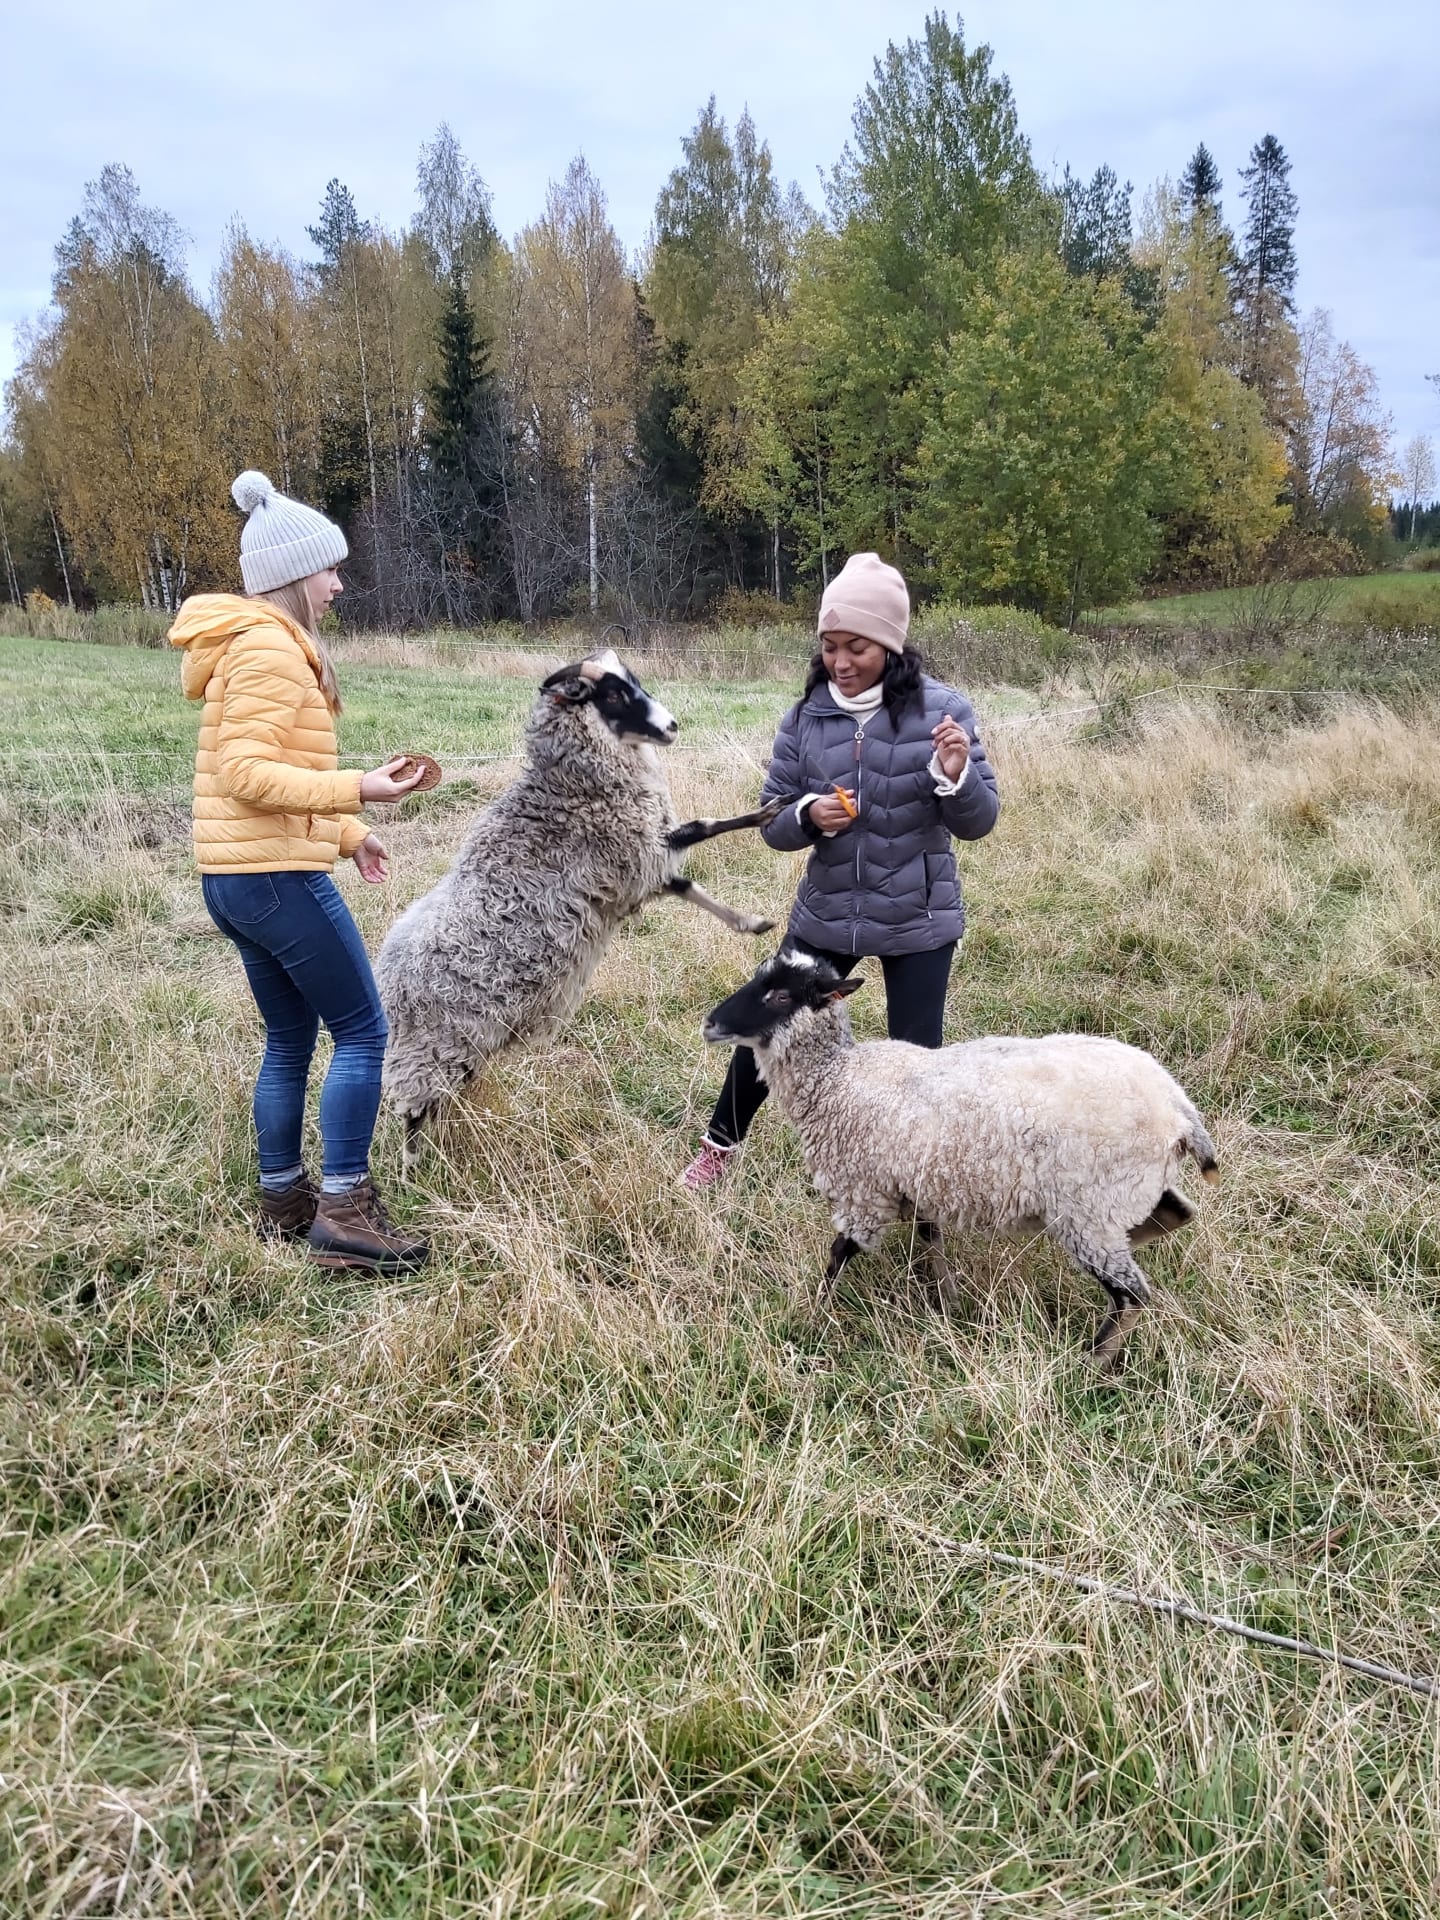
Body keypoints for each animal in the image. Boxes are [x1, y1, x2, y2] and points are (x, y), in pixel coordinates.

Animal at [378, 648, 780, 1163]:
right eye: (613, 695)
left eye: (635, 684)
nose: (672, 726)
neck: (570, 785)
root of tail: (388, 981)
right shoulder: (636, 850)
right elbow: (704, 827)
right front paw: (767, 812)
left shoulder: (639, 873)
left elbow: (690, 885)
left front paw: (752, 923)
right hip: (430, 1048)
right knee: (411, 1113)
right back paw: (415, 1166)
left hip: (461, 1048)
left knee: (433, 1104)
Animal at [701, 947, 1220, 1368]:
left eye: (780, 997)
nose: (710, 1023)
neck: (838, 1078)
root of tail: (1179, 1111)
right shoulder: (920, 1179)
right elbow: (930, 1239)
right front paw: (947, 1301)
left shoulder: (865, 1192)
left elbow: (838, 1255)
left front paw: (811, 1317)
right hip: (1125, 1193)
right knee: (1178, 1214)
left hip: (1090, 1208)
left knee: (1132, 1294)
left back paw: (1091, 1363)